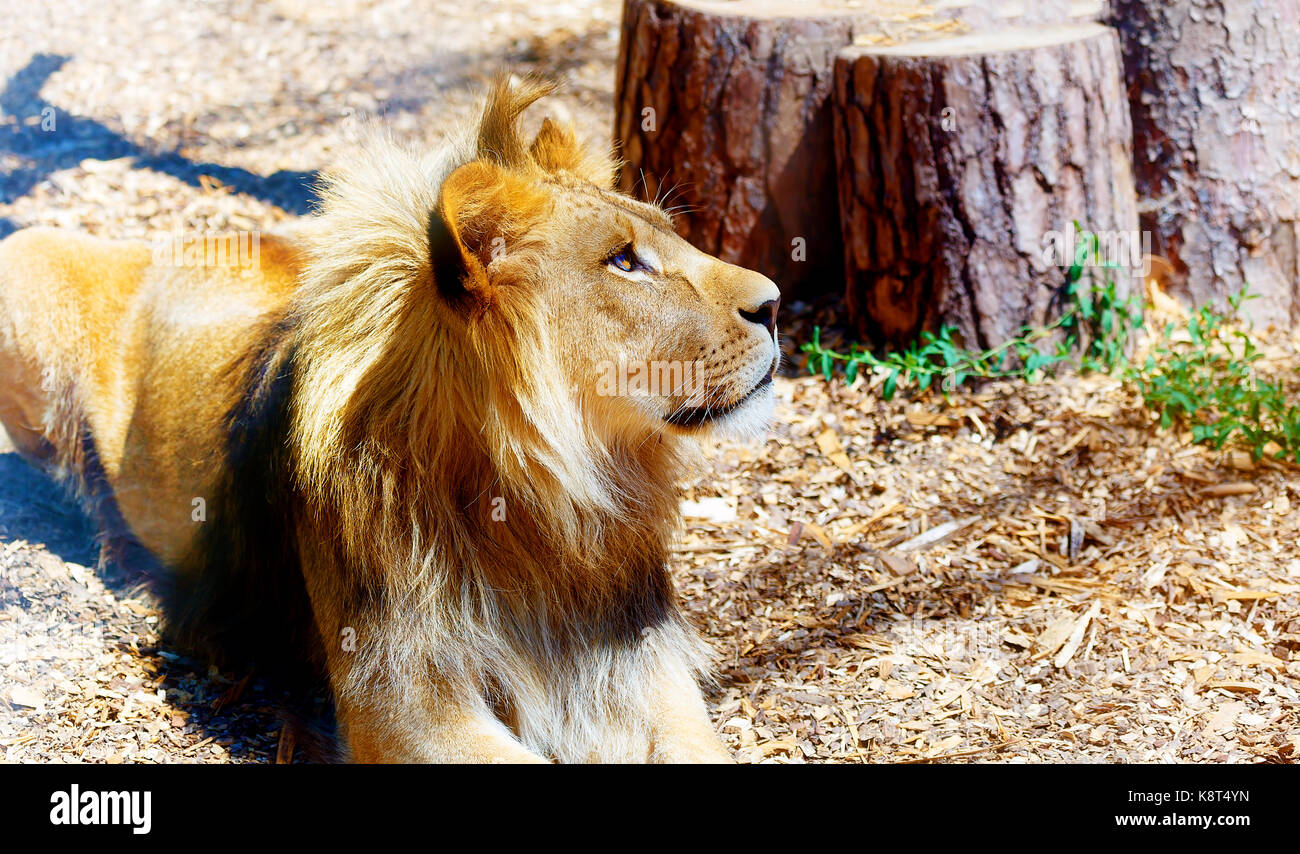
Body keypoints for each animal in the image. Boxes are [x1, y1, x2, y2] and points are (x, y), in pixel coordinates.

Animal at [0, 77, 780, 763]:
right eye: (624, 261)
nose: (774, 302)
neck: (548, 501)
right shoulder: (406, 704)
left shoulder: (640, 667)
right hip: (27, 252)